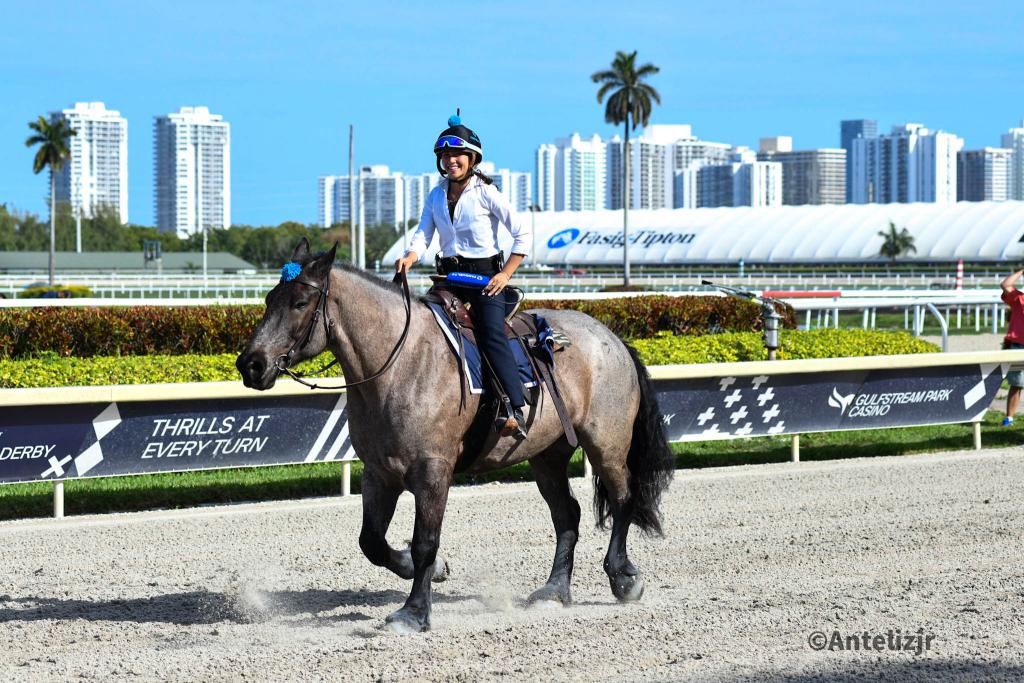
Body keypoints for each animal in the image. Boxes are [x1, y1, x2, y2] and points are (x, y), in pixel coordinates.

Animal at [236, 238, 675, 633]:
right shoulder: (378, 473)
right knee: (567, 514)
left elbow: (425, 540)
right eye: (269, 299)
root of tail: (612, 339)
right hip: (547, 456)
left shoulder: (433, 472)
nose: (251, 364)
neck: (400, 364)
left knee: (622, 498)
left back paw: (623, 577)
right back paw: (553, 591)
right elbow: (371, 541)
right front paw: (429, 570)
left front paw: (414, 613)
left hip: (607, 445)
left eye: (299, 303)